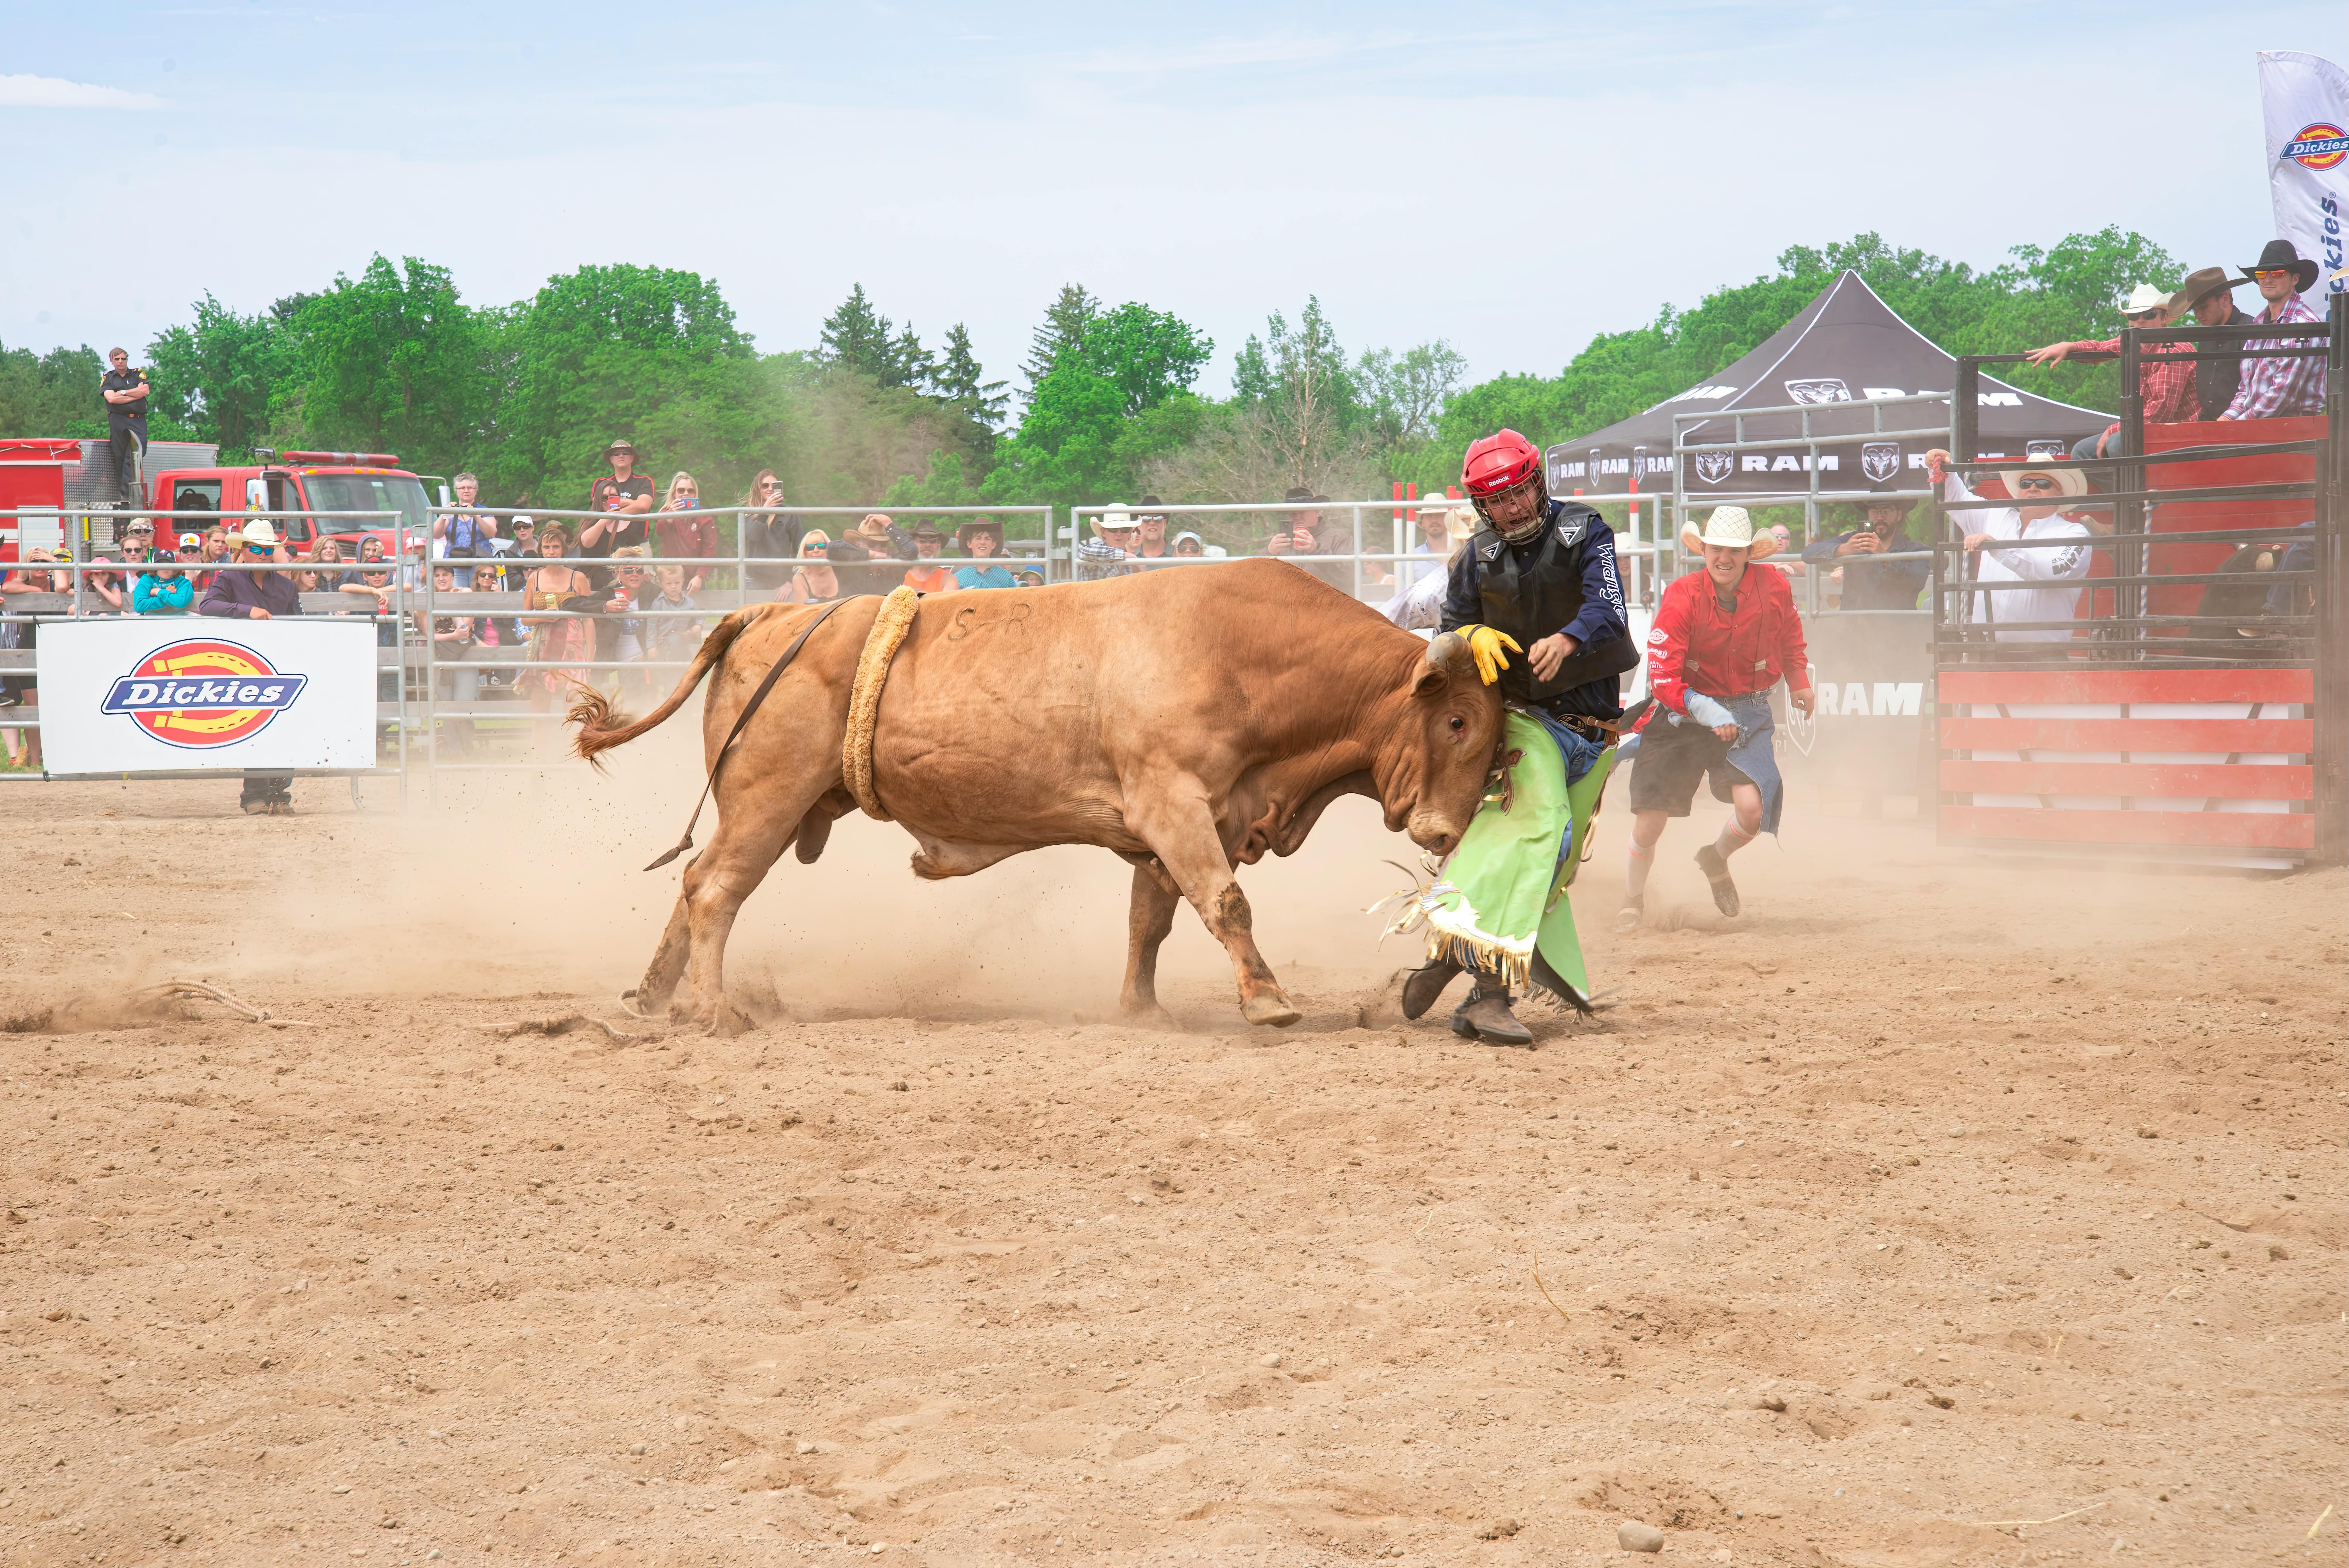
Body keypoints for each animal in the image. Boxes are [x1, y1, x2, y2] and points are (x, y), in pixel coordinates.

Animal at [568, 560, 1504, 1034]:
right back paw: (716, 1011)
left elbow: (1151, 919)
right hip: (768, 798)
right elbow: (1224, 901)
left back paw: (650, 999)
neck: (1244, 653)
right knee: (715, 890)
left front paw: (1140, 1007)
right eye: (1457, 719)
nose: (1448, 831)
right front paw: (1269, 1000)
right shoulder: (1173, 805)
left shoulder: (1173, 820)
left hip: (759, 804)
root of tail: (765, 615)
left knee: (691, 886)